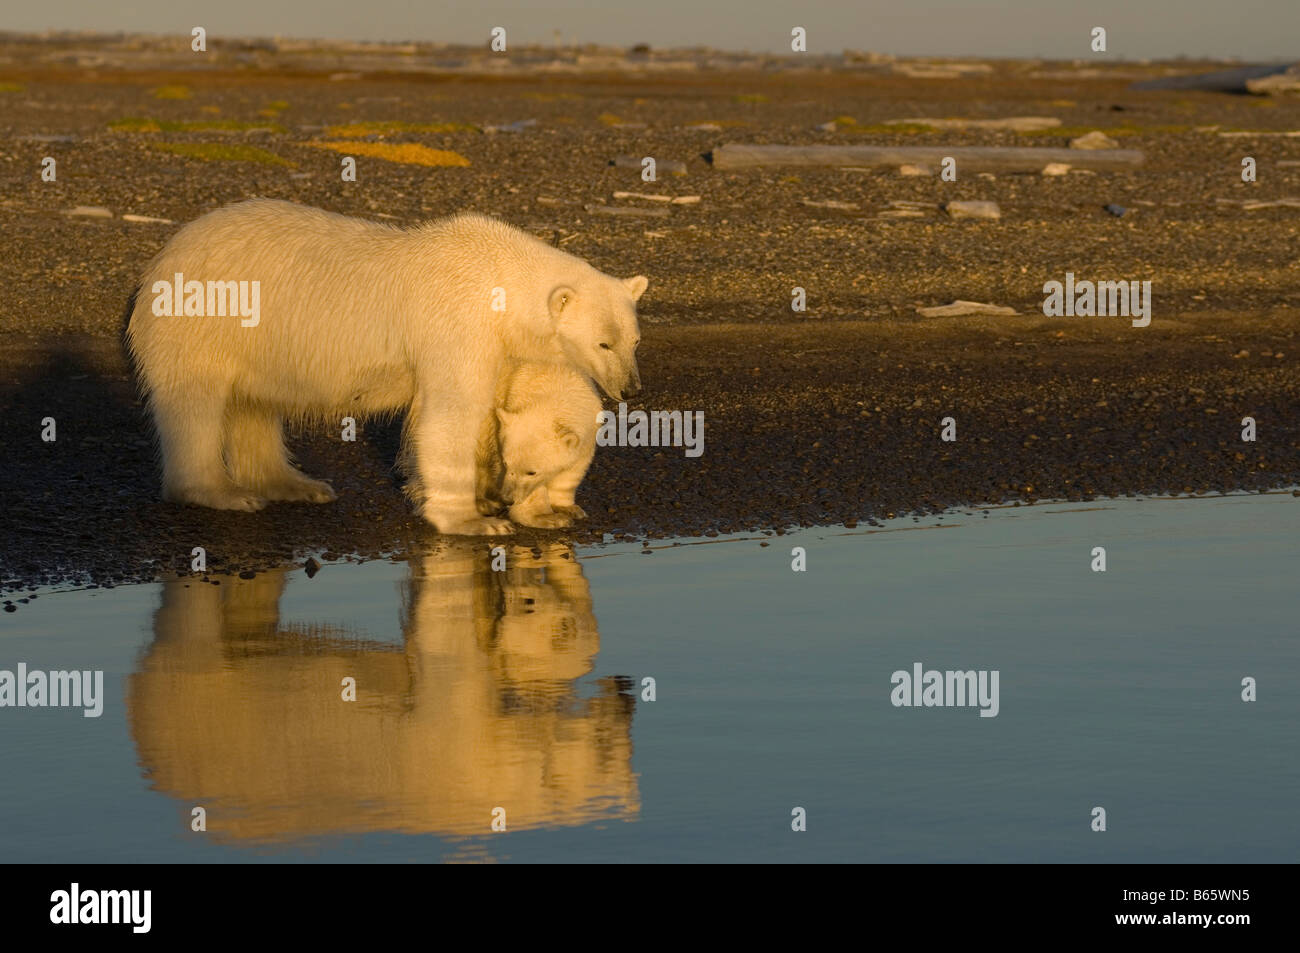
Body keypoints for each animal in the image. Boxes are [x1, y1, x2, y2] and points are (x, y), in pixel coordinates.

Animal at [475, 360, 602, 530]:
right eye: (506, 464)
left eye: (532, 472)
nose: (508, 499)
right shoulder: (495, 431)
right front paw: (547, 517)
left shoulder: (587, 433)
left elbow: (573, 469)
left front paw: (569, 508)